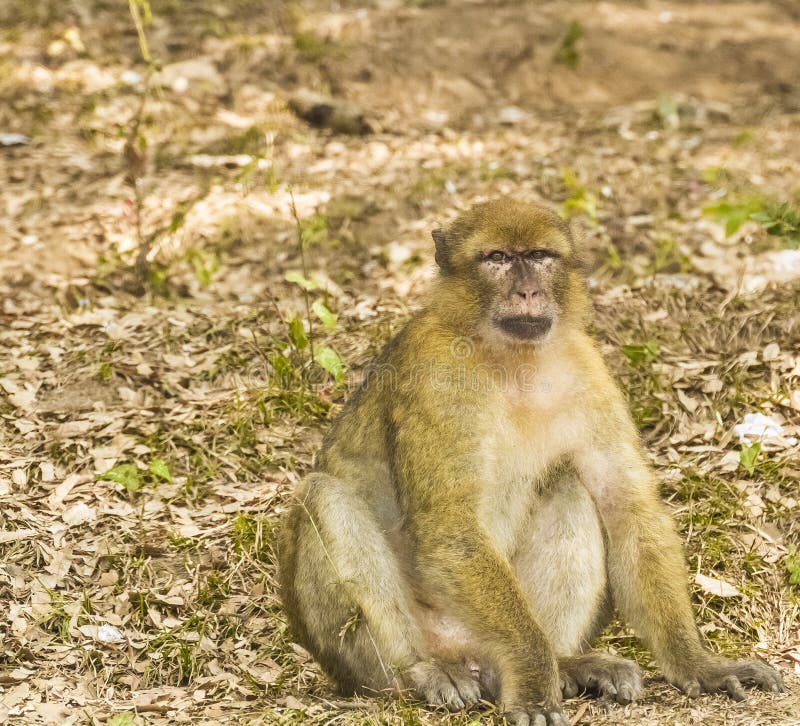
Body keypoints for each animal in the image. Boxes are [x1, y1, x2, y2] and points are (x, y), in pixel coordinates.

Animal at [277, 198, 783, 725]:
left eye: (540, 255)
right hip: (372, 657)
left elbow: (628, 510)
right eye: (498, 258)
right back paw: (422, 672)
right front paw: (536, 684)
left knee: (568, 482)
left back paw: (566, 663)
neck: (513, 359)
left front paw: (698, 665)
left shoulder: (586, 368)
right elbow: (452, 530)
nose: (527, 290)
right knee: (324, 497)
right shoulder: (436, 371)